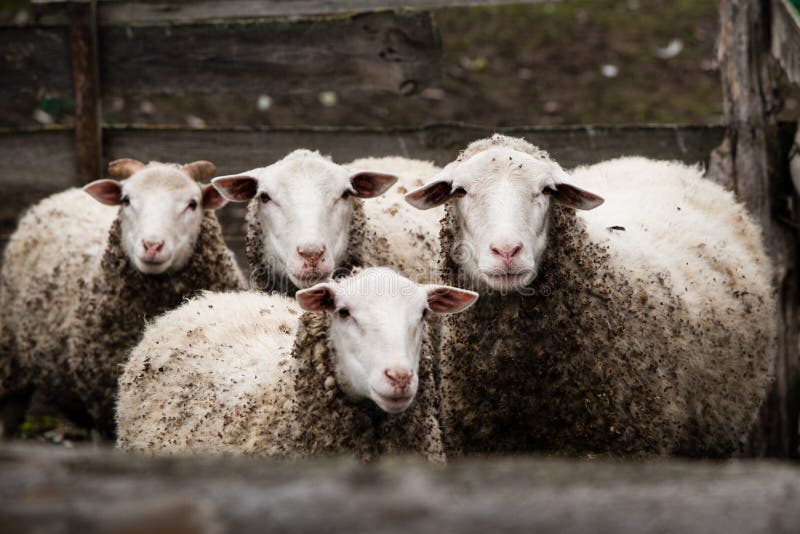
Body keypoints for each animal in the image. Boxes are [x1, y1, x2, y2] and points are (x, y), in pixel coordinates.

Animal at [0, 159, 243, 438]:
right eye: (126, 200)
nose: (152, 246)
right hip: (10, 364)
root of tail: (66, 193)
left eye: (193, 203)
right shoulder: (102, 407)